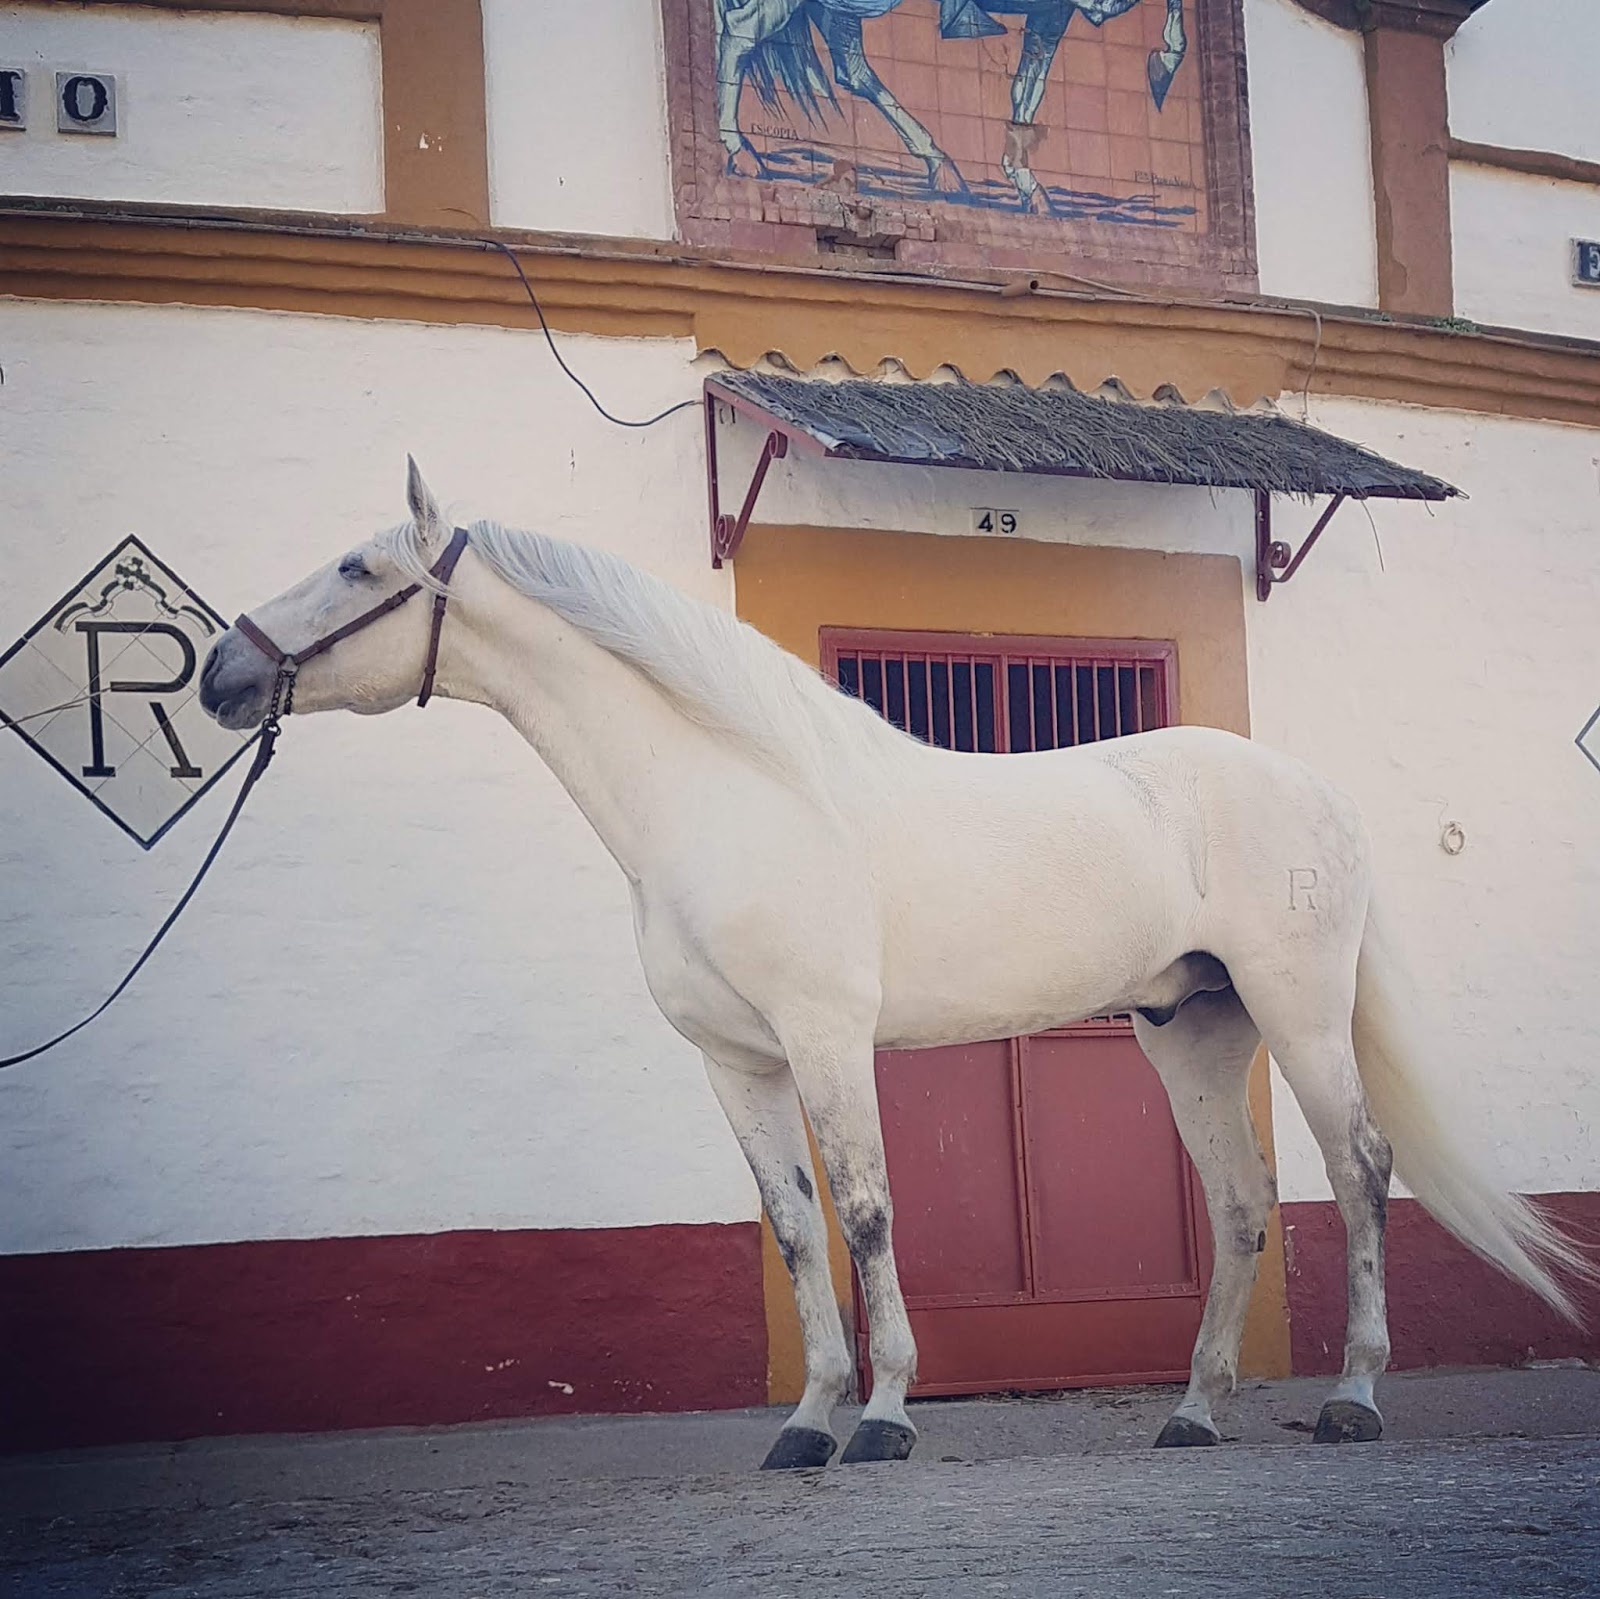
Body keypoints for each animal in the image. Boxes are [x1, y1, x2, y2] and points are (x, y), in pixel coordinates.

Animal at [199, 461, 1591, 1468]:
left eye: (356, 566)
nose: (221, 672)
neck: (729, 792)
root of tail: (1314, 789)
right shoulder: (735, 1062)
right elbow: (793, 1229)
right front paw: (805, 1425)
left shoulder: (823, 1037)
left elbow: (867, 1212)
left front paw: (881, 1420)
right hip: (1192, 1027)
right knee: (1247, 1201)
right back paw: (1191, 1415)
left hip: (1297, 1015)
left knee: (1357, 1172)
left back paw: (1353, 1399)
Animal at [715, 0, 1189, 212]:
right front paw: (1164, 60)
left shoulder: (1052, 10)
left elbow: (1027, 89)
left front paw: (1027, 184)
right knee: (740, 32)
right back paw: (741, 152)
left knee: (852, 68)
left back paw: (941, 165)